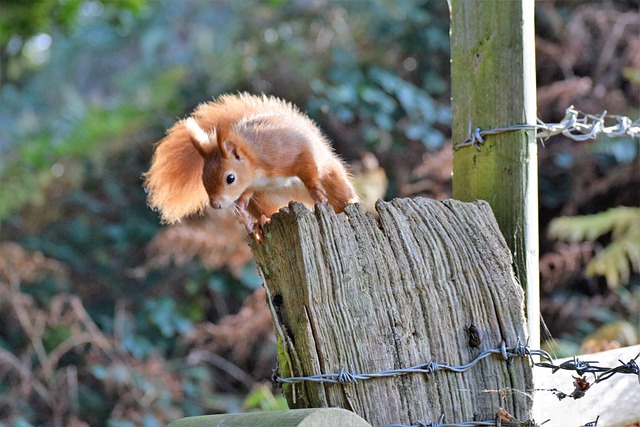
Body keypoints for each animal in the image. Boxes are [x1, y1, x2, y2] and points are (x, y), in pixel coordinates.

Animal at [143, 93, 358, 238]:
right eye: (203, 178)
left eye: (230, 178)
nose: (216, 204)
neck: (257, 167)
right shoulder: (251, 188)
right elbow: (243, 198)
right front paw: (241, 212)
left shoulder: (292, 152)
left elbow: (307, 167)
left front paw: (316, 192)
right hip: (265, 201)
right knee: (269, 212)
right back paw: (259, 223)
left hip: (332, 181)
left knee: (340, 197)